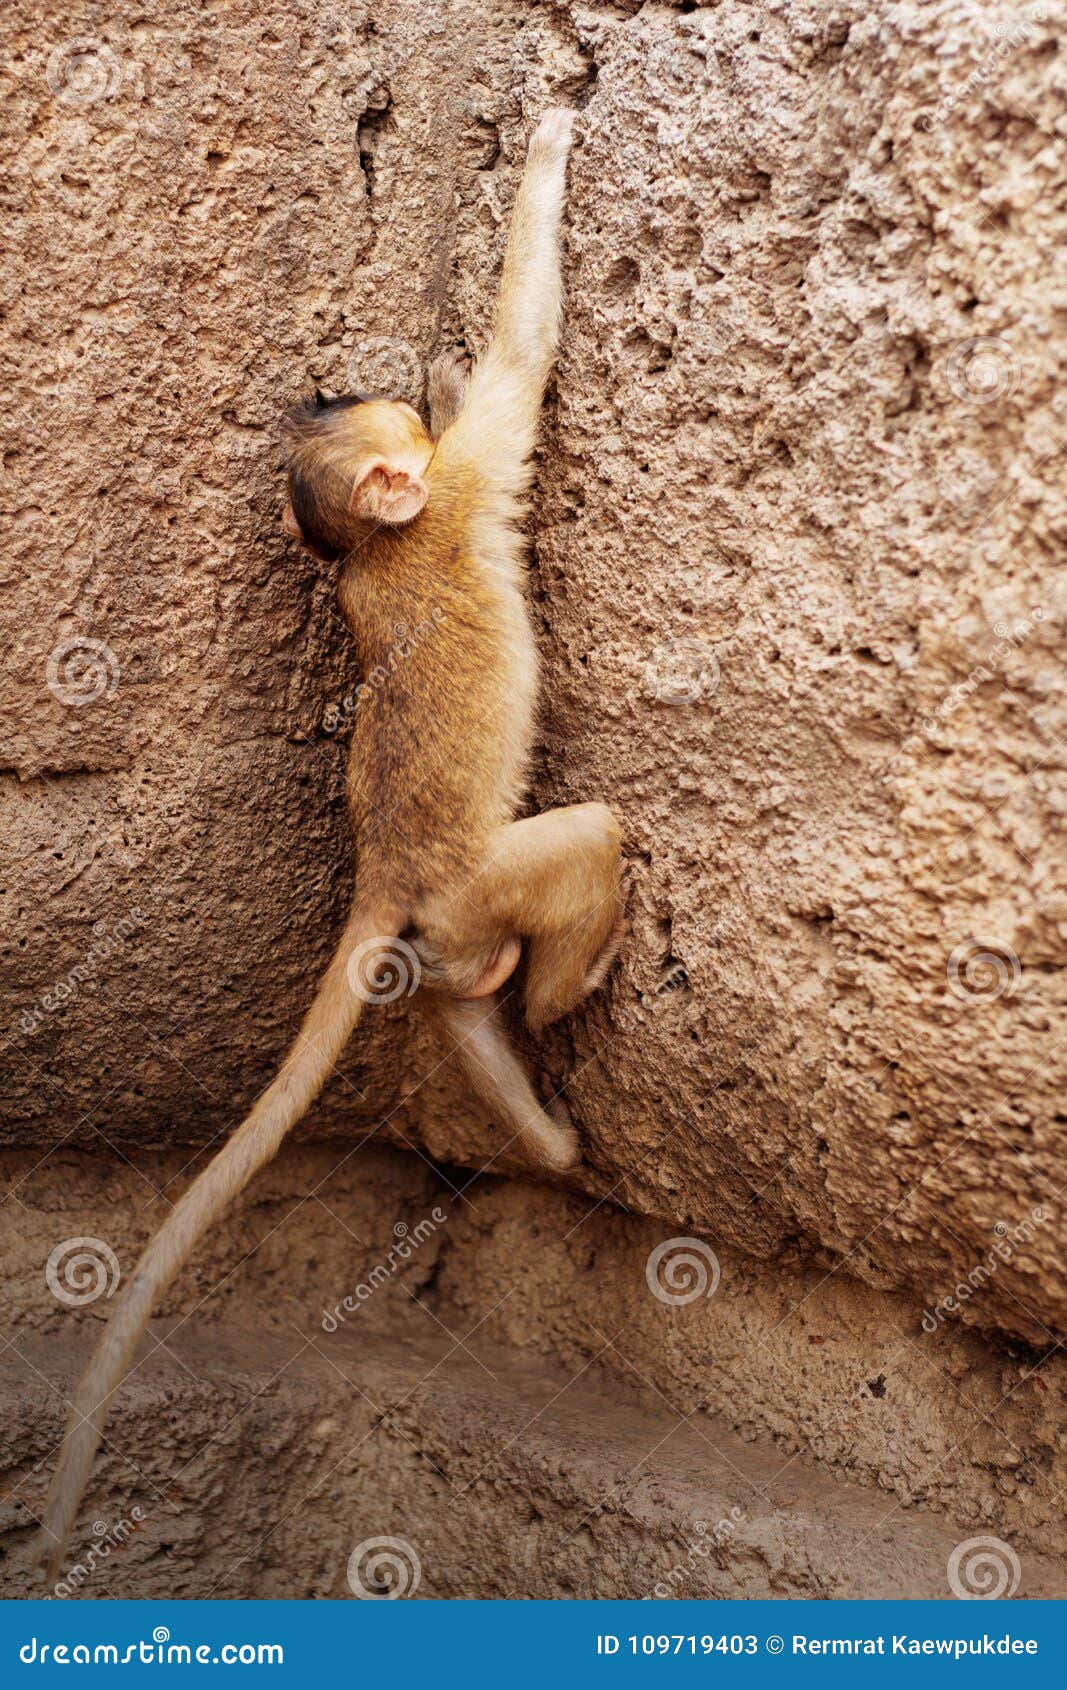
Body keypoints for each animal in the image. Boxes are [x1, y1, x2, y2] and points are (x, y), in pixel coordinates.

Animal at [36, 107, 623, 1575]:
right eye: (387, 428)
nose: (355, 386)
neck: (380, 543)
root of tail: (389, 873)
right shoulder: (467, 475)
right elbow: (520, 356)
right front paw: (549, 134)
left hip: (449, 914)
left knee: (461, 994)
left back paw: (526, 1110)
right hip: (482, 877)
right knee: (584, 846)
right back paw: (562, 989)